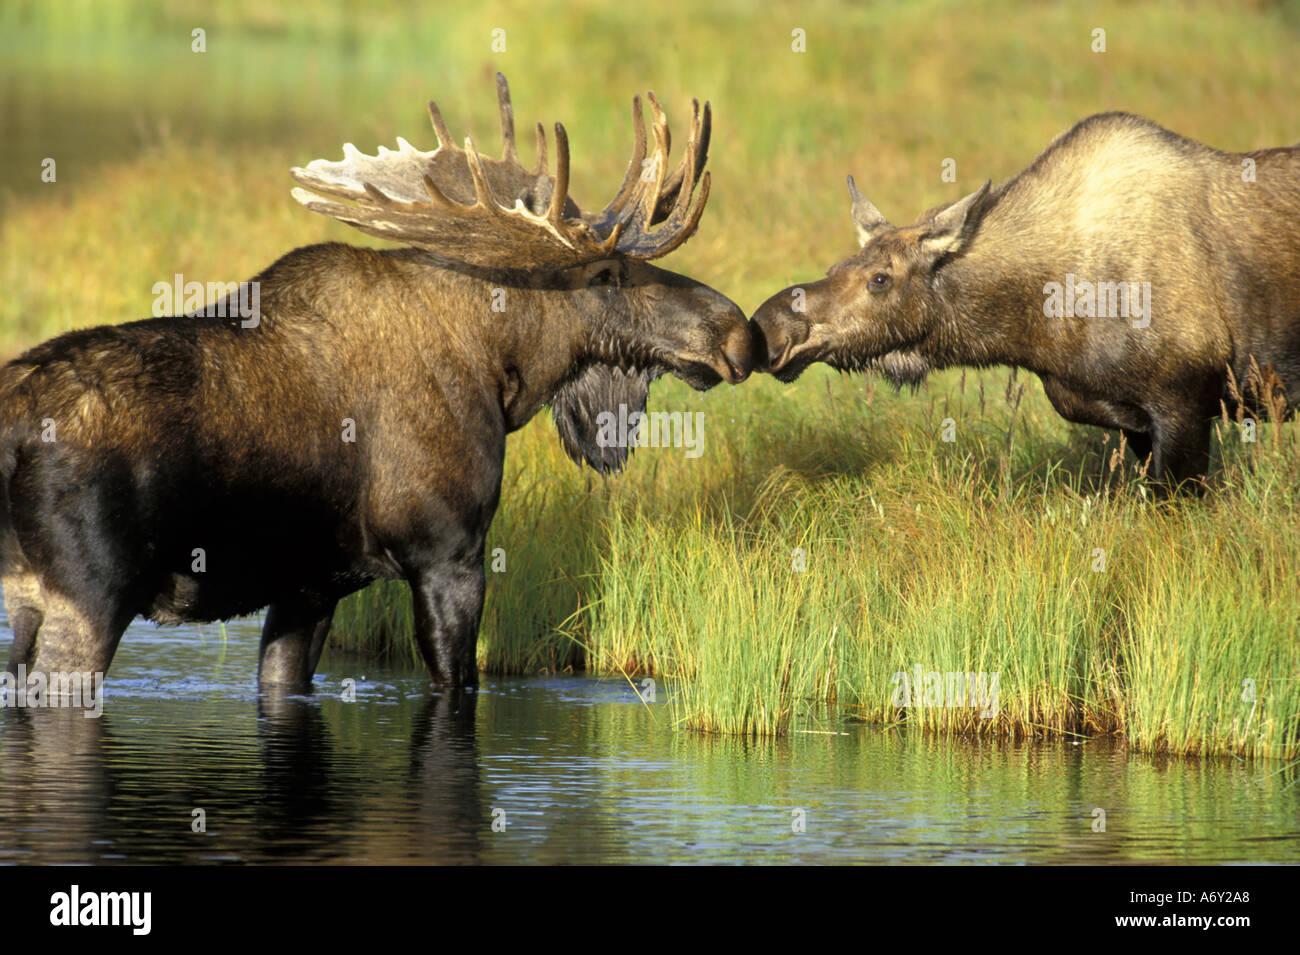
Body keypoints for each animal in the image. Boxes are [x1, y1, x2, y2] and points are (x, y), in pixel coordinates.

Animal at [0, 74, 753, 695]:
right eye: (610, 275)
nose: (738, 332)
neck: (501, 371)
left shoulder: (310, 585)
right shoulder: (449, 552)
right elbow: (457, 684)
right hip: (87, 594)